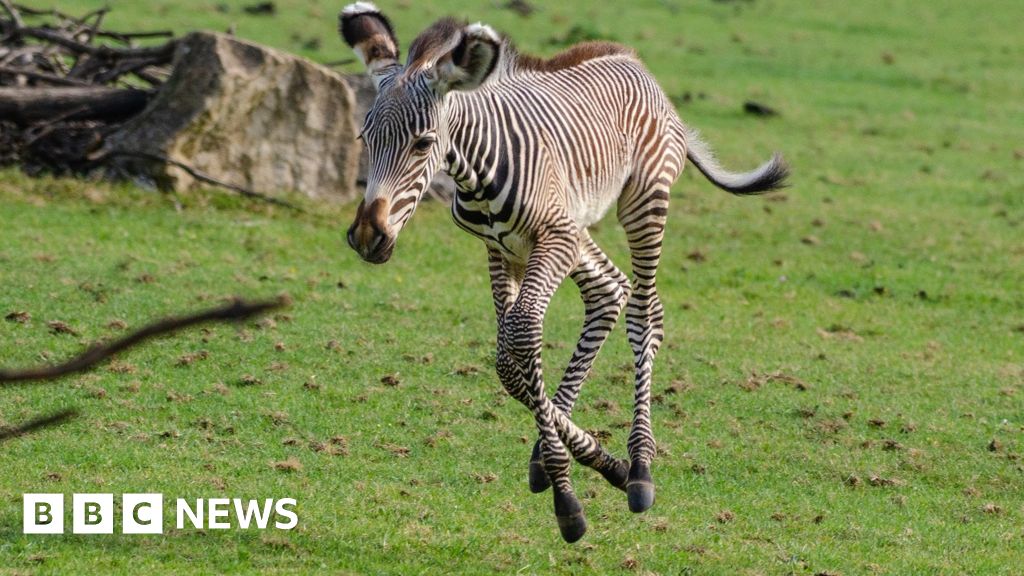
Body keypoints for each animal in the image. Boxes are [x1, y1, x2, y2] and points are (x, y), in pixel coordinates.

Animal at [339, 2, 788, 542]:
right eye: (364, 137)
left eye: (423, 143)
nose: (367, 237)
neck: (477, 169)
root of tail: (633, 61)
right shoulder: (501, 248)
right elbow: (507, 360)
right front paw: (587, 460)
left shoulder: (550, 240)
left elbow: (522, 335)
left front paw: (569, 496)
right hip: (576, 228)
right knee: (609, 290)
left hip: (641, 203)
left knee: (645, 313)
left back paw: (640, 467)